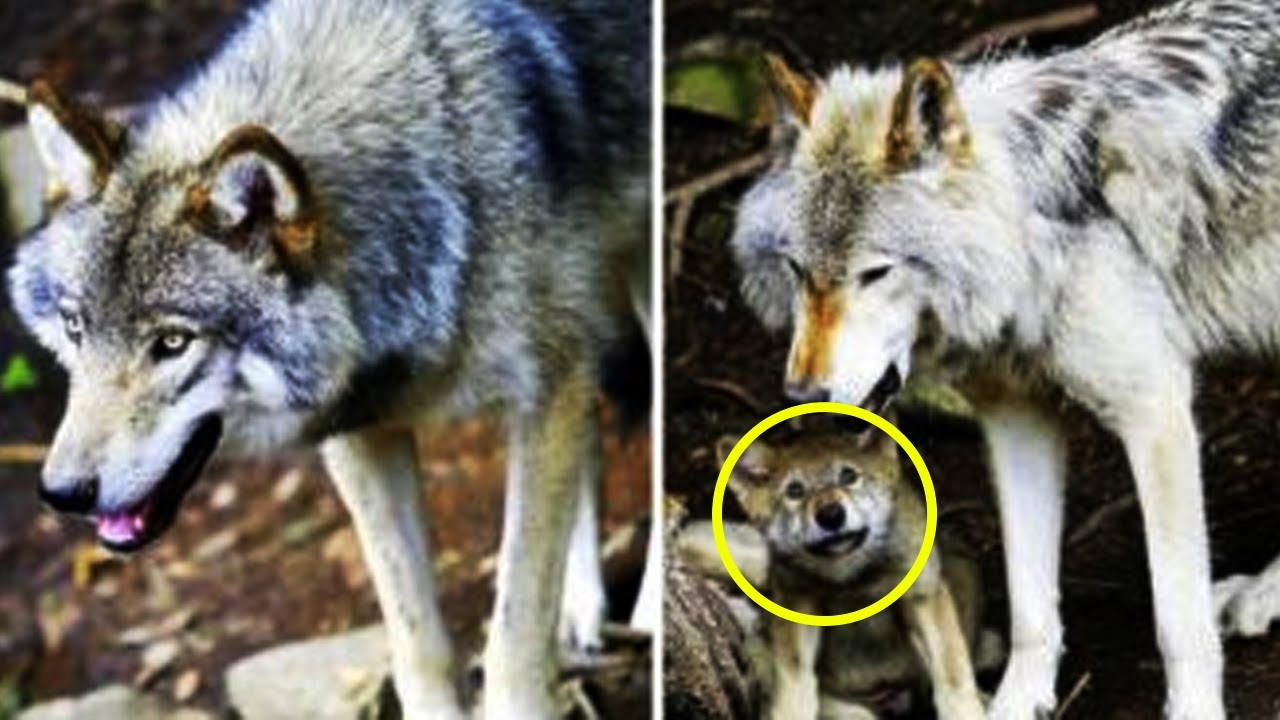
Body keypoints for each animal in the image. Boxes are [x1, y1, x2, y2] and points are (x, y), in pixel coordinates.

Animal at [4, 0, 650, 717]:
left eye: (172, 342)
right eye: (75, 327)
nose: (62, 494)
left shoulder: (547, 387)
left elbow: (513, 638)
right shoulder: (361, 432)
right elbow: (417, 641)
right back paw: (584, 607)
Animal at [704, 429, 987, 720]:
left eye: (849, 476)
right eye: (794, 491)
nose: (830, 515)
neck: (850, 578)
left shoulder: (923, 596)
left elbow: (952, 674)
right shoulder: (797, 607)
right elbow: (795, 685)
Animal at [731, 1, 1280, 717]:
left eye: (875, 274)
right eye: (799, 271)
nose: (801, 393)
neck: (1025, 237)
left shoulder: (1153, 413)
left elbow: (1176, 619)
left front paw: (1193, 710)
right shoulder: (1016, 418)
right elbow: (1029, 608)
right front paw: (1017, 702)